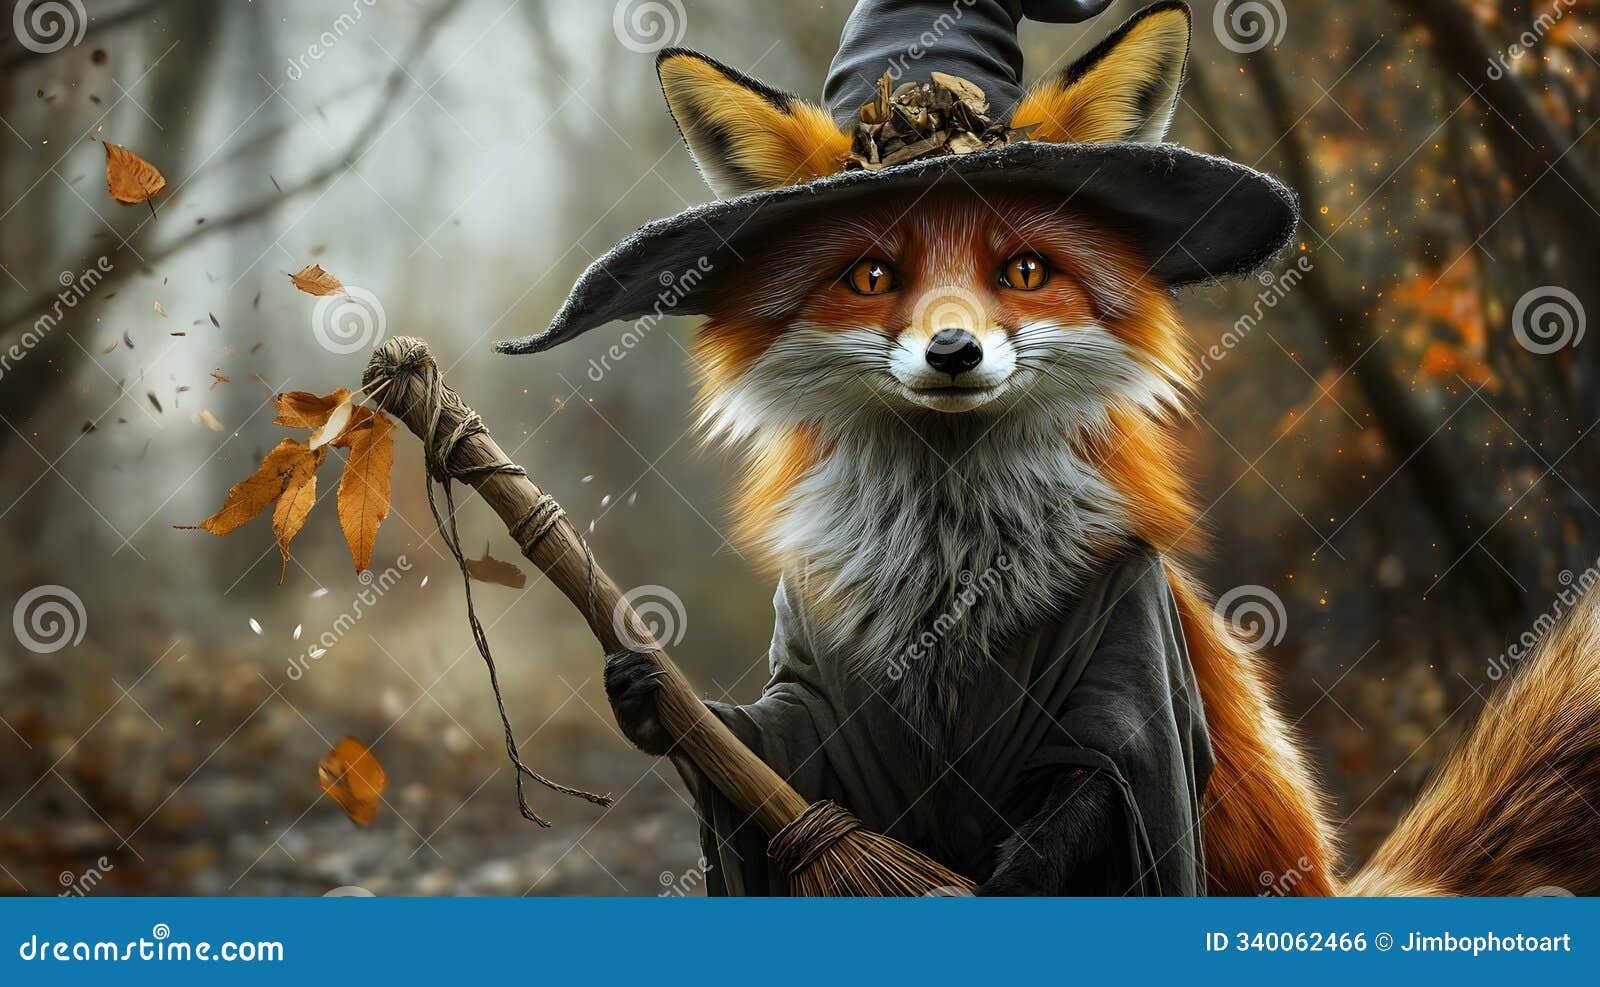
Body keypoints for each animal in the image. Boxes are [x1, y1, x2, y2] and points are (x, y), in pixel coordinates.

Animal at [604, 3, 1600, 896]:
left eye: (1024, 270)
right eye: (872, 276)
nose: (954, 351)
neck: (946, 566)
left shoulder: (1128, 681)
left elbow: (1095, 797)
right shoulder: (820, 699)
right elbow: (766, 755)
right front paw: (649, 695)